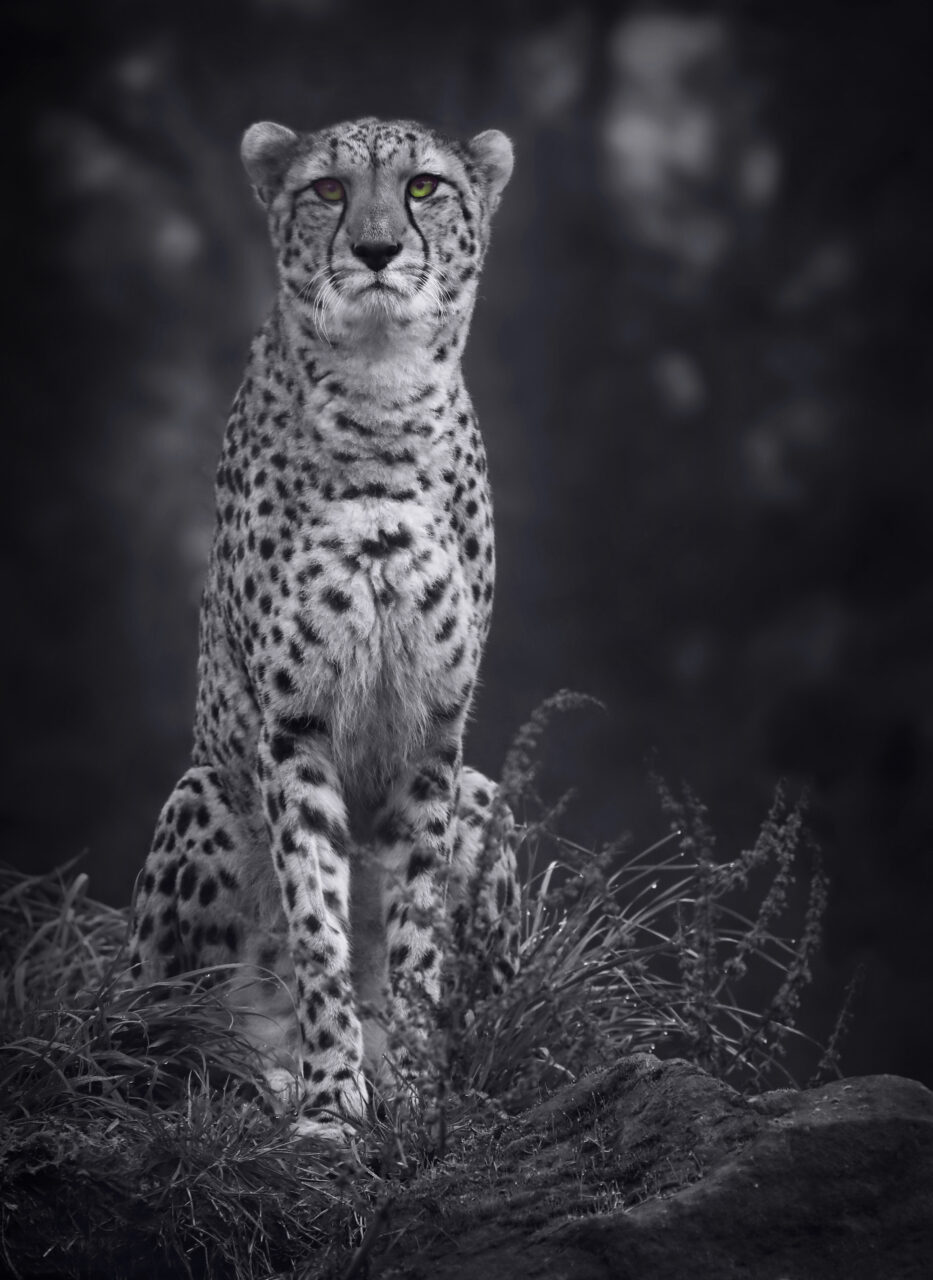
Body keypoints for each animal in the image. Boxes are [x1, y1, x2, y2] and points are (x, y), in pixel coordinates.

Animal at [128, 116, 518, 1141]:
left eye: (423, 187)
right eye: (328, 191)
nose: (376, 248)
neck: (381, 397)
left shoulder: (433, 735)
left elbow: (414, 933)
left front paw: (411, 1088)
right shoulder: (291, 728)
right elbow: (316, 922)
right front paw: (332, 1101)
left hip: (486, 794)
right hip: (202, 795)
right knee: (160, 1042)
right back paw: (260, 1075)